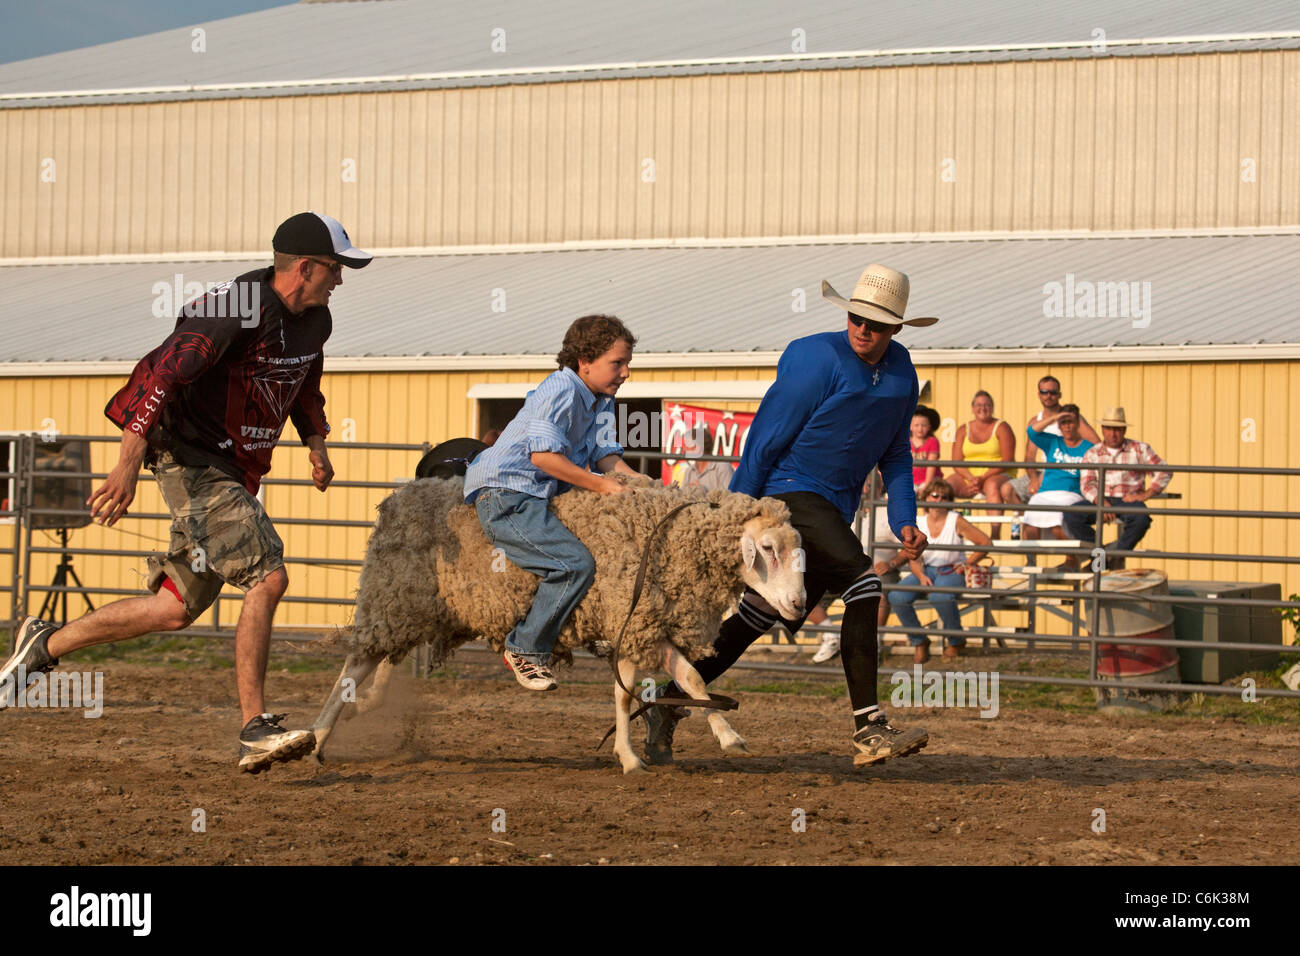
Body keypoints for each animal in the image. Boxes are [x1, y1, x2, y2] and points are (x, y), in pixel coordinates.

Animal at [309, 476, 806, 773]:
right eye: (766, 547)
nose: (799, 603)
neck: (663, 535)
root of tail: (397, 497)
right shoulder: (626, 616)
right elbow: (624, 695)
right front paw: (628, 758)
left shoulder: (650, 622)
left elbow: (692, 679)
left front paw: (730, 737)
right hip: (391, 601)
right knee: (353, 668)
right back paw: (317, 738)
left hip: (413, 609)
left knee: (374, 664)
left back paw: (345, 719)